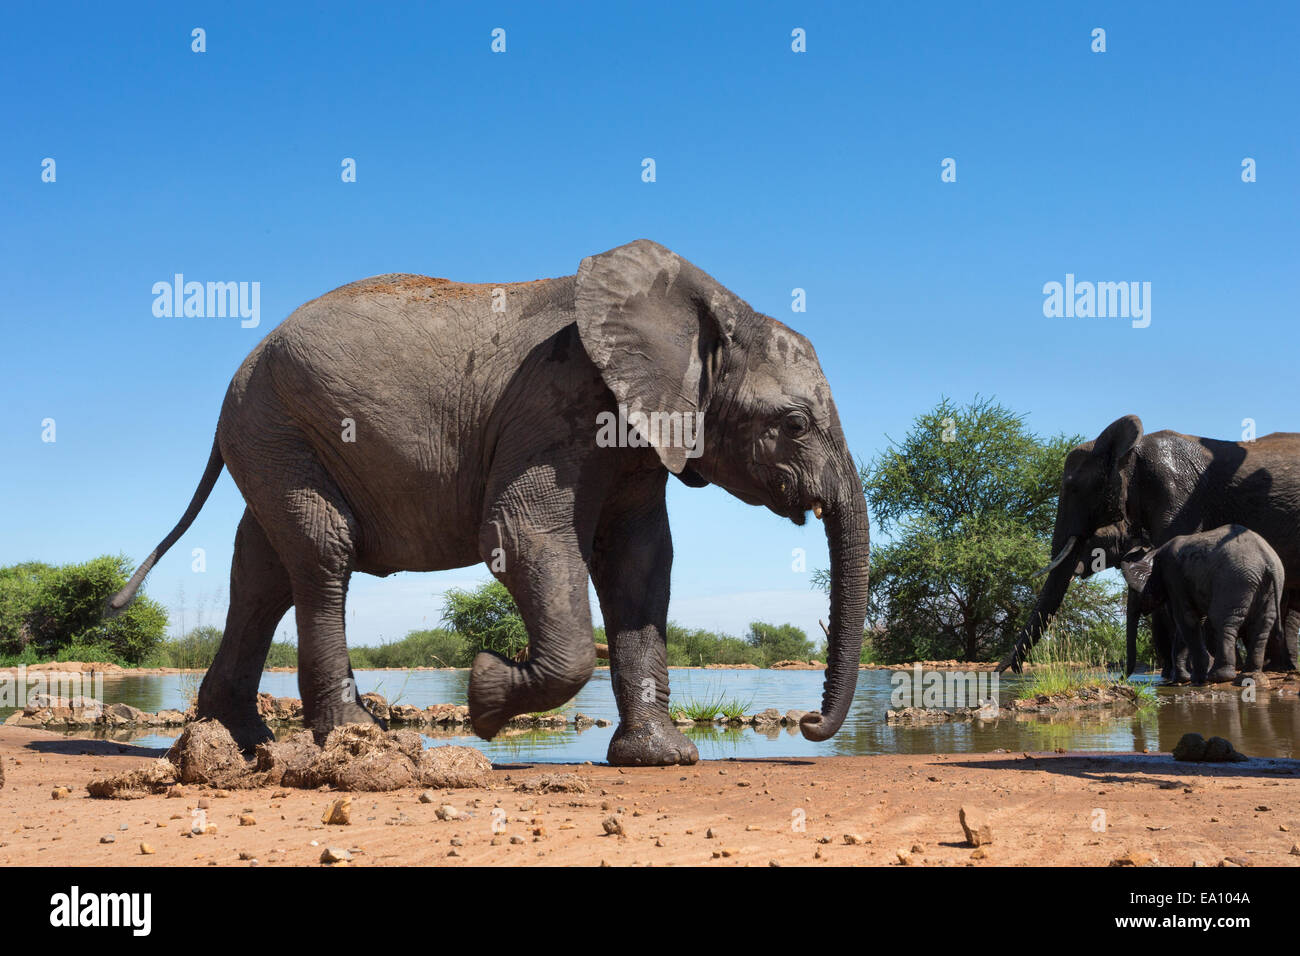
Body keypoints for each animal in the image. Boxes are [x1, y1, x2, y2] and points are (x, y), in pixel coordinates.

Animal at [106, 240, 870, 766]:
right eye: (795, 424)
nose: (809, 727)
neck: (702, 309)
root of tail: (239, 372)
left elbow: (641, 562)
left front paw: (661, 759)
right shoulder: (555, 404)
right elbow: (521, 533)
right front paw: (483, 698)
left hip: (272, 435)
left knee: (262, 571)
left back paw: (236, 739)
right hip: (278, 425)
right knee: (324, 553)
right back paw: (354, 736)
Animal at [1118, 525, 1285, 683]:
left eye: (1133, 591)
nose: (1120, 679)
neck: (1155, 552)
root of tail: (1267, 559)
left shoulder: (1173, 576)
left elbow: (1185, 619)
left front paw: (1195, 679)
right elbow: (1190, 621)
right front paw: (1183, 679)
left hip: (1234, 580)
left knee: (1222, 621)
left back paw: (1219, 677)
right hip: (1268, 584)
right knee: (1263, 624)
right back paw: (1250, 675)